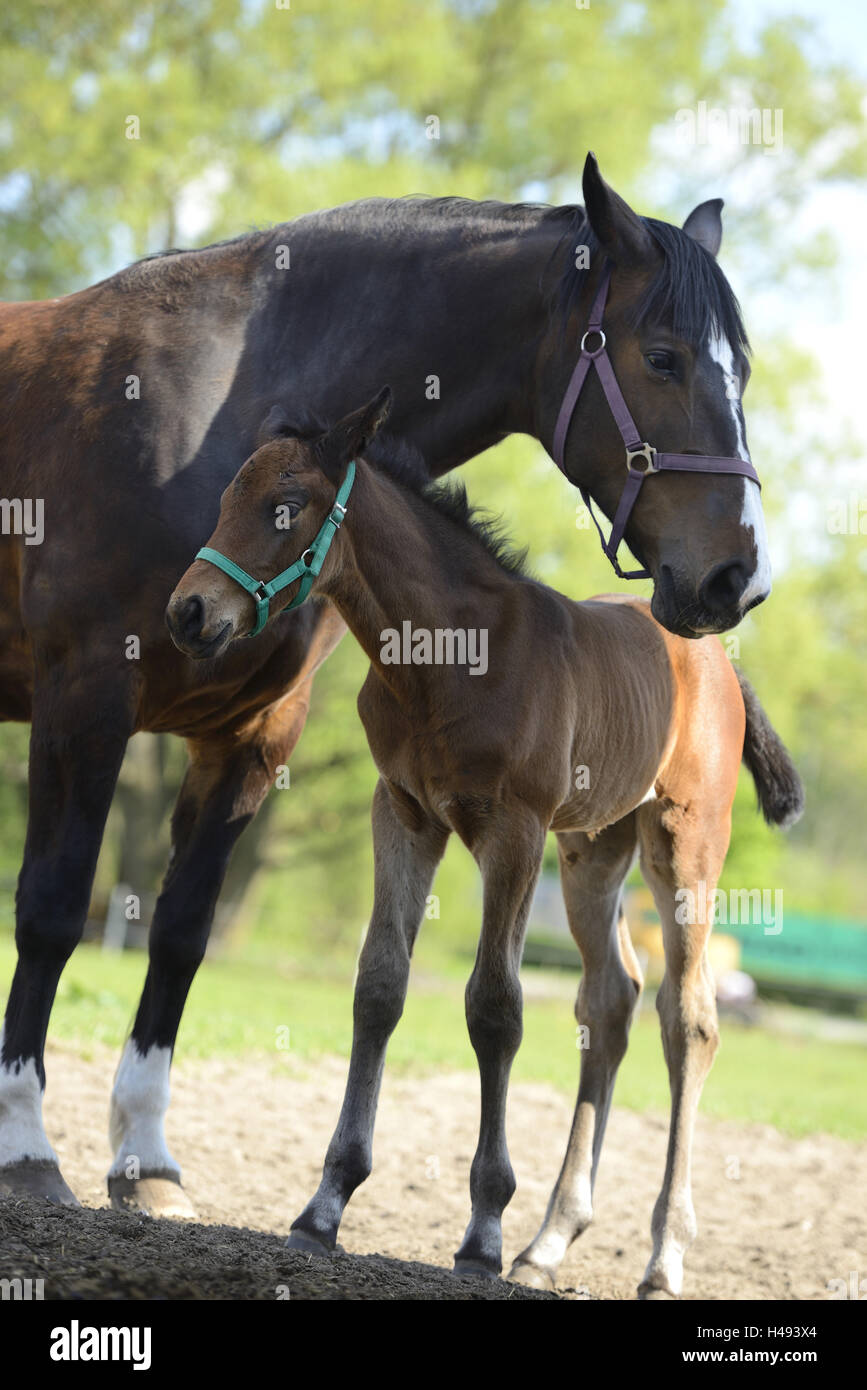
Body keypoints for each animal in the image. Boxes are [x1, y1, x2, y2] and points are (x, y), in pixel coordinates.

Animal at [0, 152, 772, 1218]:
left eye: (744, 367)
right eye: (661, 356)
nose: (737, 576)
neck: (200, 400)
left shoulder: (253, 735)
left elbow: (184, 930)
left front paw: (146, 1162)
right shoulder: (84, 702)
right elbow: (50, 907)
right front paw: (29, 1147)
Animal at [166, 387, 802, 1298]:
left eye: (286, 507)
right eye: (227, 500)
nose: (188, 612)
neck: (445, 657)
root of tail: (712, 655)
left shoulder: (513, 831)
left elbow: (494, 1008)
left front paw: (481, 1231)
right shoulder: (402, 812)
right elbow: (378, 986)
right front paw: (323, 1210)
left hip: (683, 842)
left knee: (688, 1021)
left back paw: (662, 1254)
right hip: (592, 850)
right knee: (609, 1001)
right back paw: (550, 1240)